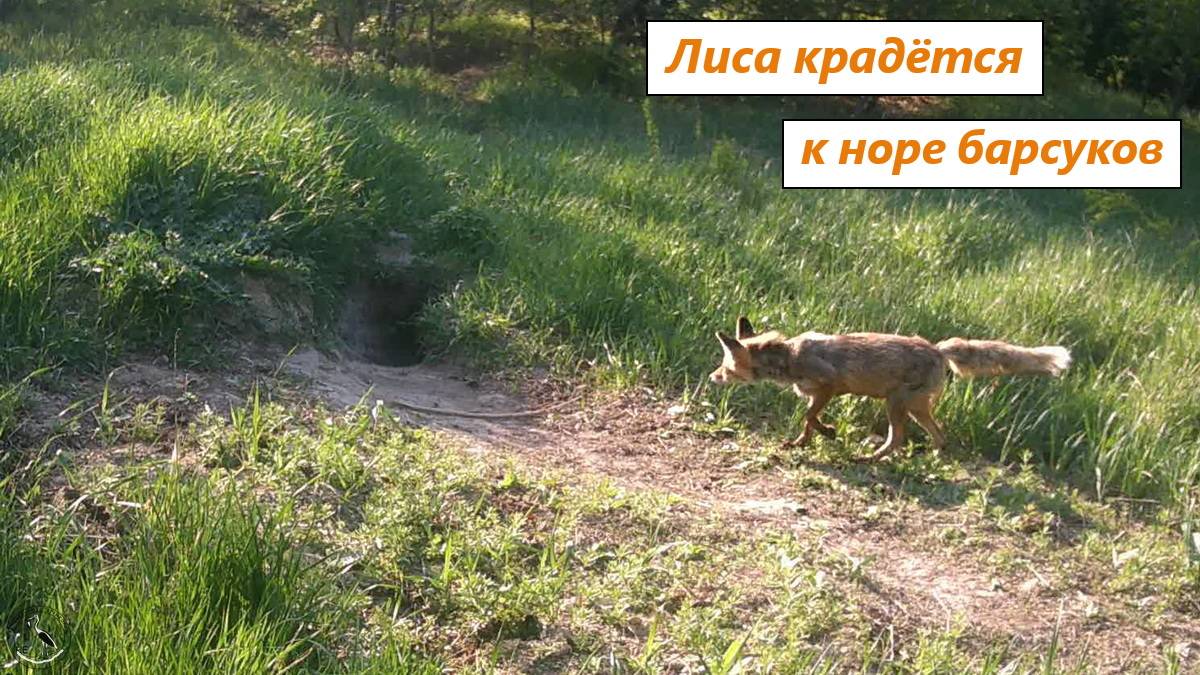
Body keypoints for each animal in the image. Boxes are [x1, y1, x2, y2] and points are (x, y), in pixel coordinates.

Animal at [709, 316, 1071, 460]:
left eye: (726, 367)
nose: (713, 377)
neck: (790, 358)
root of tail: (938, 349)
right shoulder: (818, 394)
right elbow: (807, 423)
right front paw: (801, 443)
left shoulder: (829, 386)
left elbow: (809, 418)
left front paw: (827, 432)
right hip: (915, 408)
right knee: (939, 436)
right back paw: (931, 458)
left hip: (896, 405)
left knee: (898, 439)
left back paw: (870, 459)